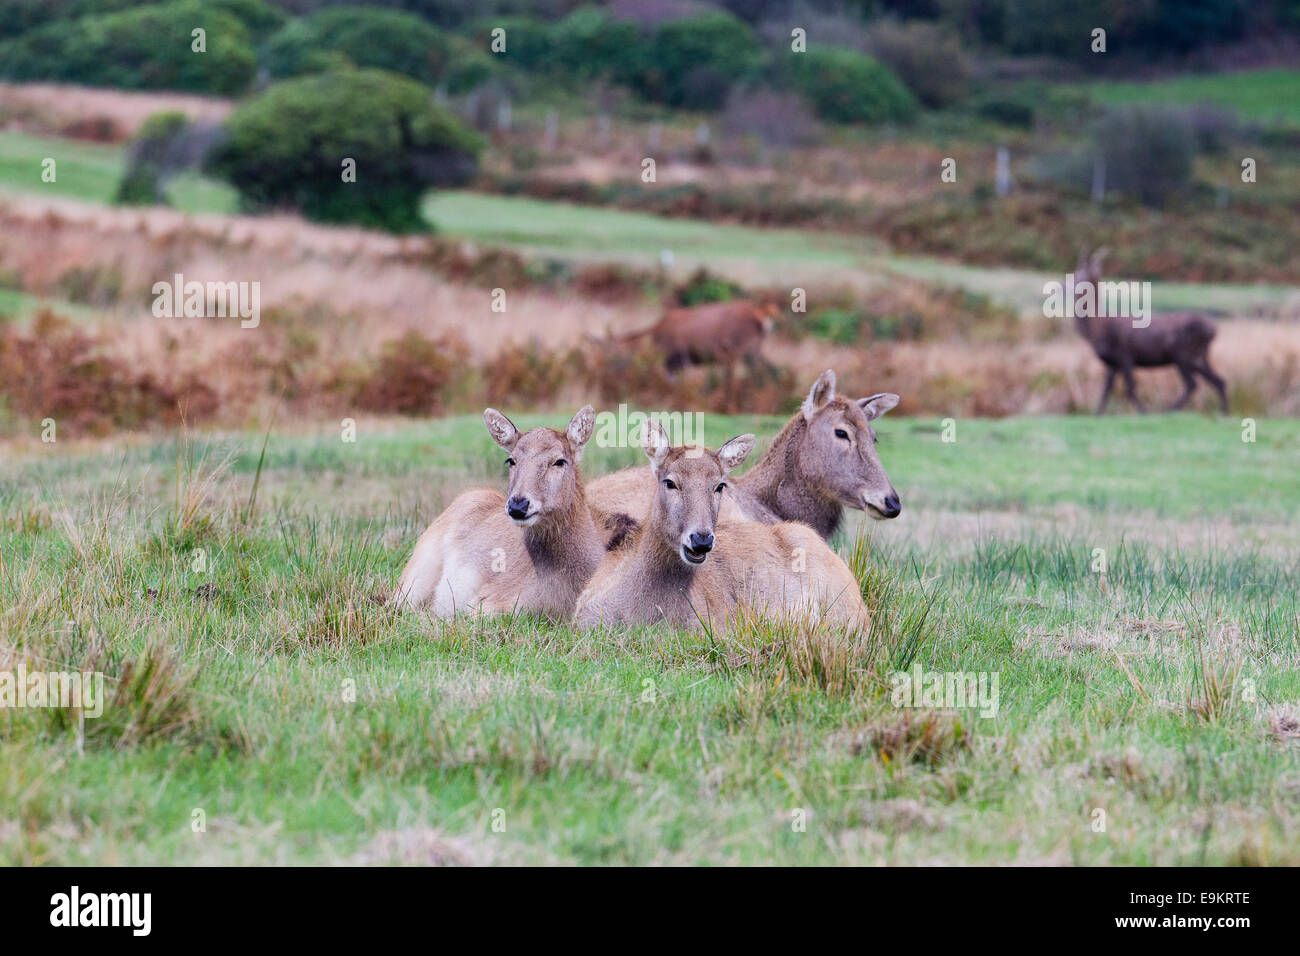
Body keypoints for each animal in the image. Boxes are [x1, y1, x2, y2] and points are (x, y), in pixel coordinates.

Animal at [1073, 247, 1228, 414]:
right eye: (1074, 274)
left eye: (1080, 277)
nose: (1063, 286)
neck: (1097, 329)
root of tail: (1213, 328)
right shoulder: (1112, 363)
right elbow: (1106, 390)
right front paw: (1097, 414)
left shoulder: (1125, 355)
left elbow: (1129, 389)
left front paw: (1144, 412)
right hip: (1197, 356)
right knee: (1219, 381)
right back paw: (1224, 412)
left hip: (1183, 354)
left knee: (1192, 384)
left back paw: (1170, 411)